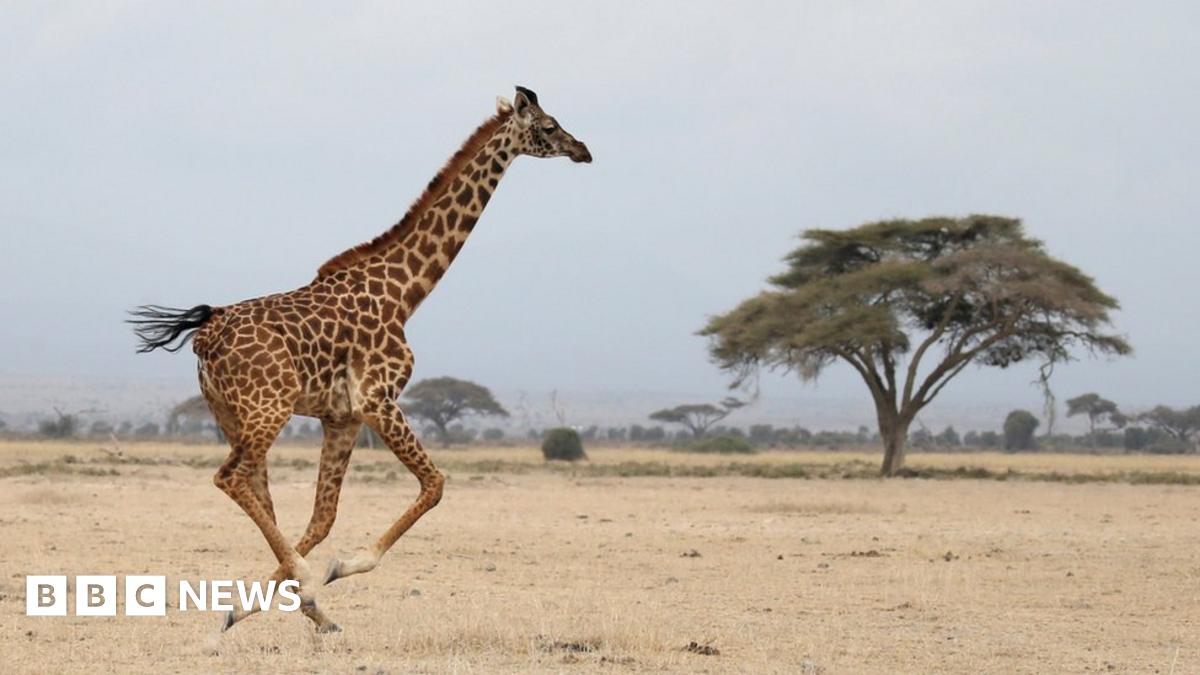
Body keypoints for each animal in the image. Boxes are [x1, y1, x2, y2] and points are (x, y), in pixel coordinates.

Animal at [129, 86, 591, 632]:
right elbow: (433, 484)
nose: (583, 149)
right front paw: (331, 572)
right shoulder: (378, 399)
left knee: (257, 492)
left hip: (231, 415)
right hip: (268, 409)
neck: (405, 292)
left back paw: (289, 603)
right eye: (548, 125)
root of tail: (207, 334)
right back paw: (299, 584)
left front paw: (277, 603)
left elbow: (323, 517)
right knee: (230, 478)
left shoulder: (342, 416)